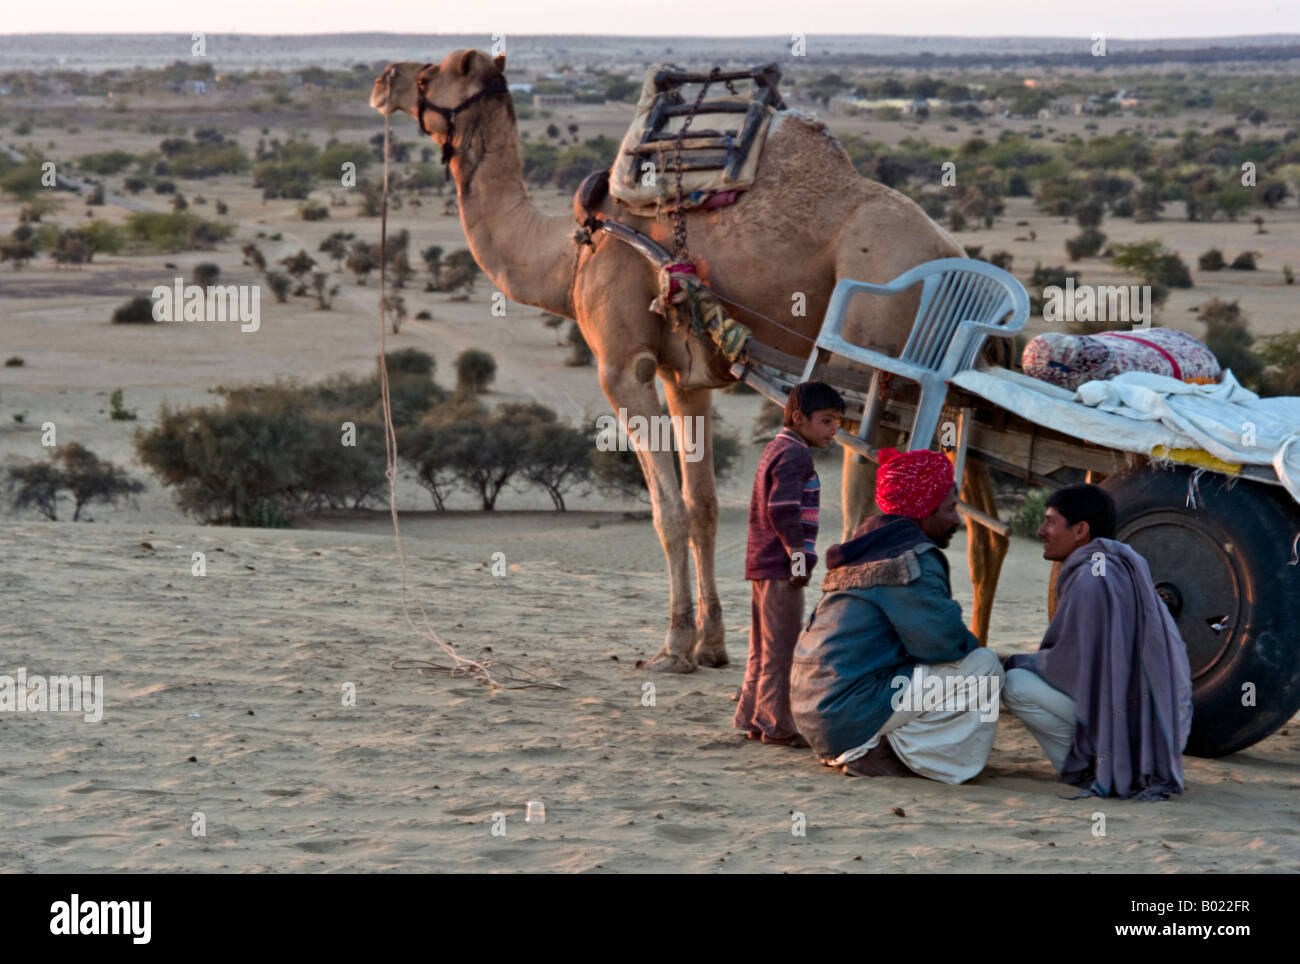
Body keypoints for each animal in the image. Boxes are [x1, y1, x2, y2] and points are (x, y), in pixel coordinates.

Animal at [371, 49, 1009, 672]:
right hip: (939, 395)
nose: (384, 79)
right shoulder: (685, 378)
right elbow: (702, 506)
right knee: (982, 528)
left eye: (430, 74)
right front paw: (712, 645)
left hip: (877, 370)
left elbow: (667, 510)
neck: (572, 249)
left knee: (872, 505)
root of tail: (953, 252)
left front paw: (674, 646)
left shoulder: (623, 366)